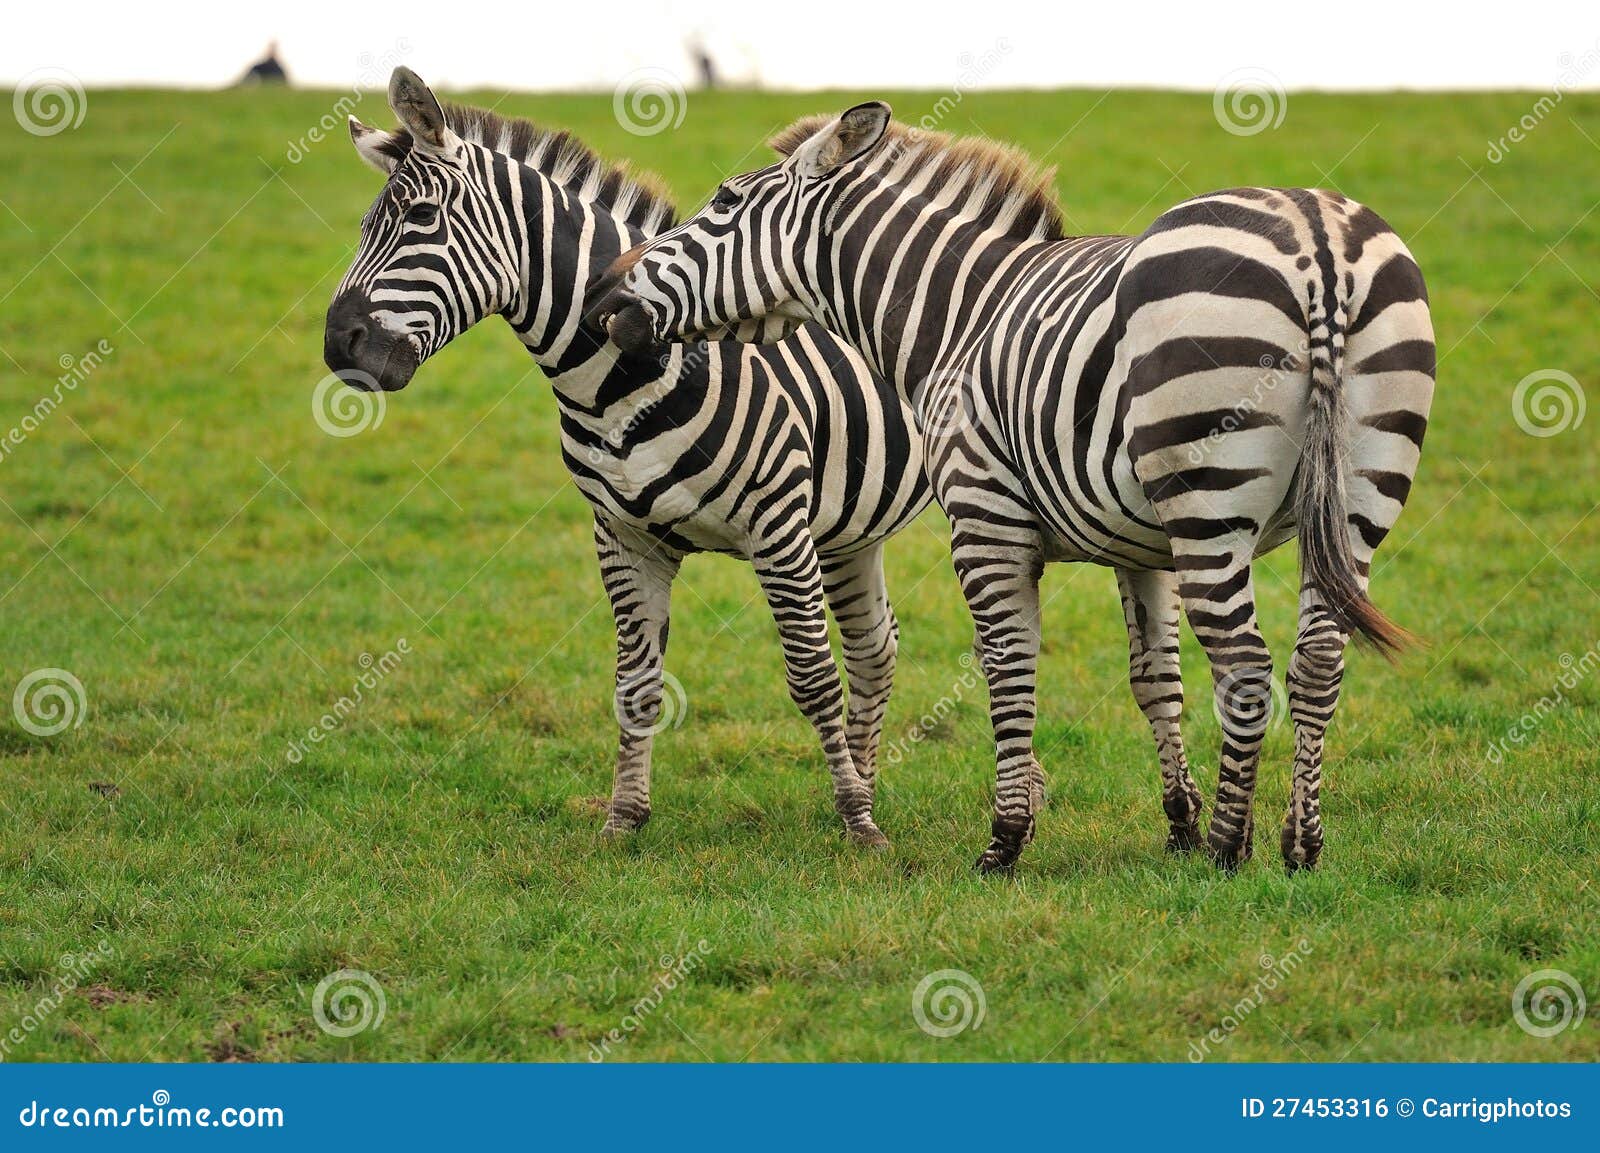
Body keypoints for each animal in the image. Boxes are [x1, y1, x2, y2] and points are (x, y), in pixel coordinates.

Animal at [323, 70, 931, 847]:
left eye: (423, 217)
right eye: (366, 226)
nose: (337, 344)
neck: (623, 375)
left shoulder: (780, 529)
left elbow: (812, 677)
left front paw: (857, 821)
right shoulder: (623, 534)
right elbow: (636, 685)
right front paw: (624, 819)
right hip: (853, 525)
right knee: (875, 647)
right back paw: (868, 782)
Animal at [589, 103, 1436, 874]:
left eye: (724, 204)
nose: (609, 305)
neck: (959, 313)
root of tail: (1316, 238)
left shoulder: (983, 515)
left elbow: (1007, 662)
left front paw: (1007, 837)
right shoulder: (1143, 548)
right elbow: (1154, 679)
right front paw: (1178, 825)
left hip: (1209, 500)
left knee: (1249, 667)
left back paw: (1233, 850)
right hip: (1359, 496)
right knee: (1317, 660)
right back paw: (1300, 847)